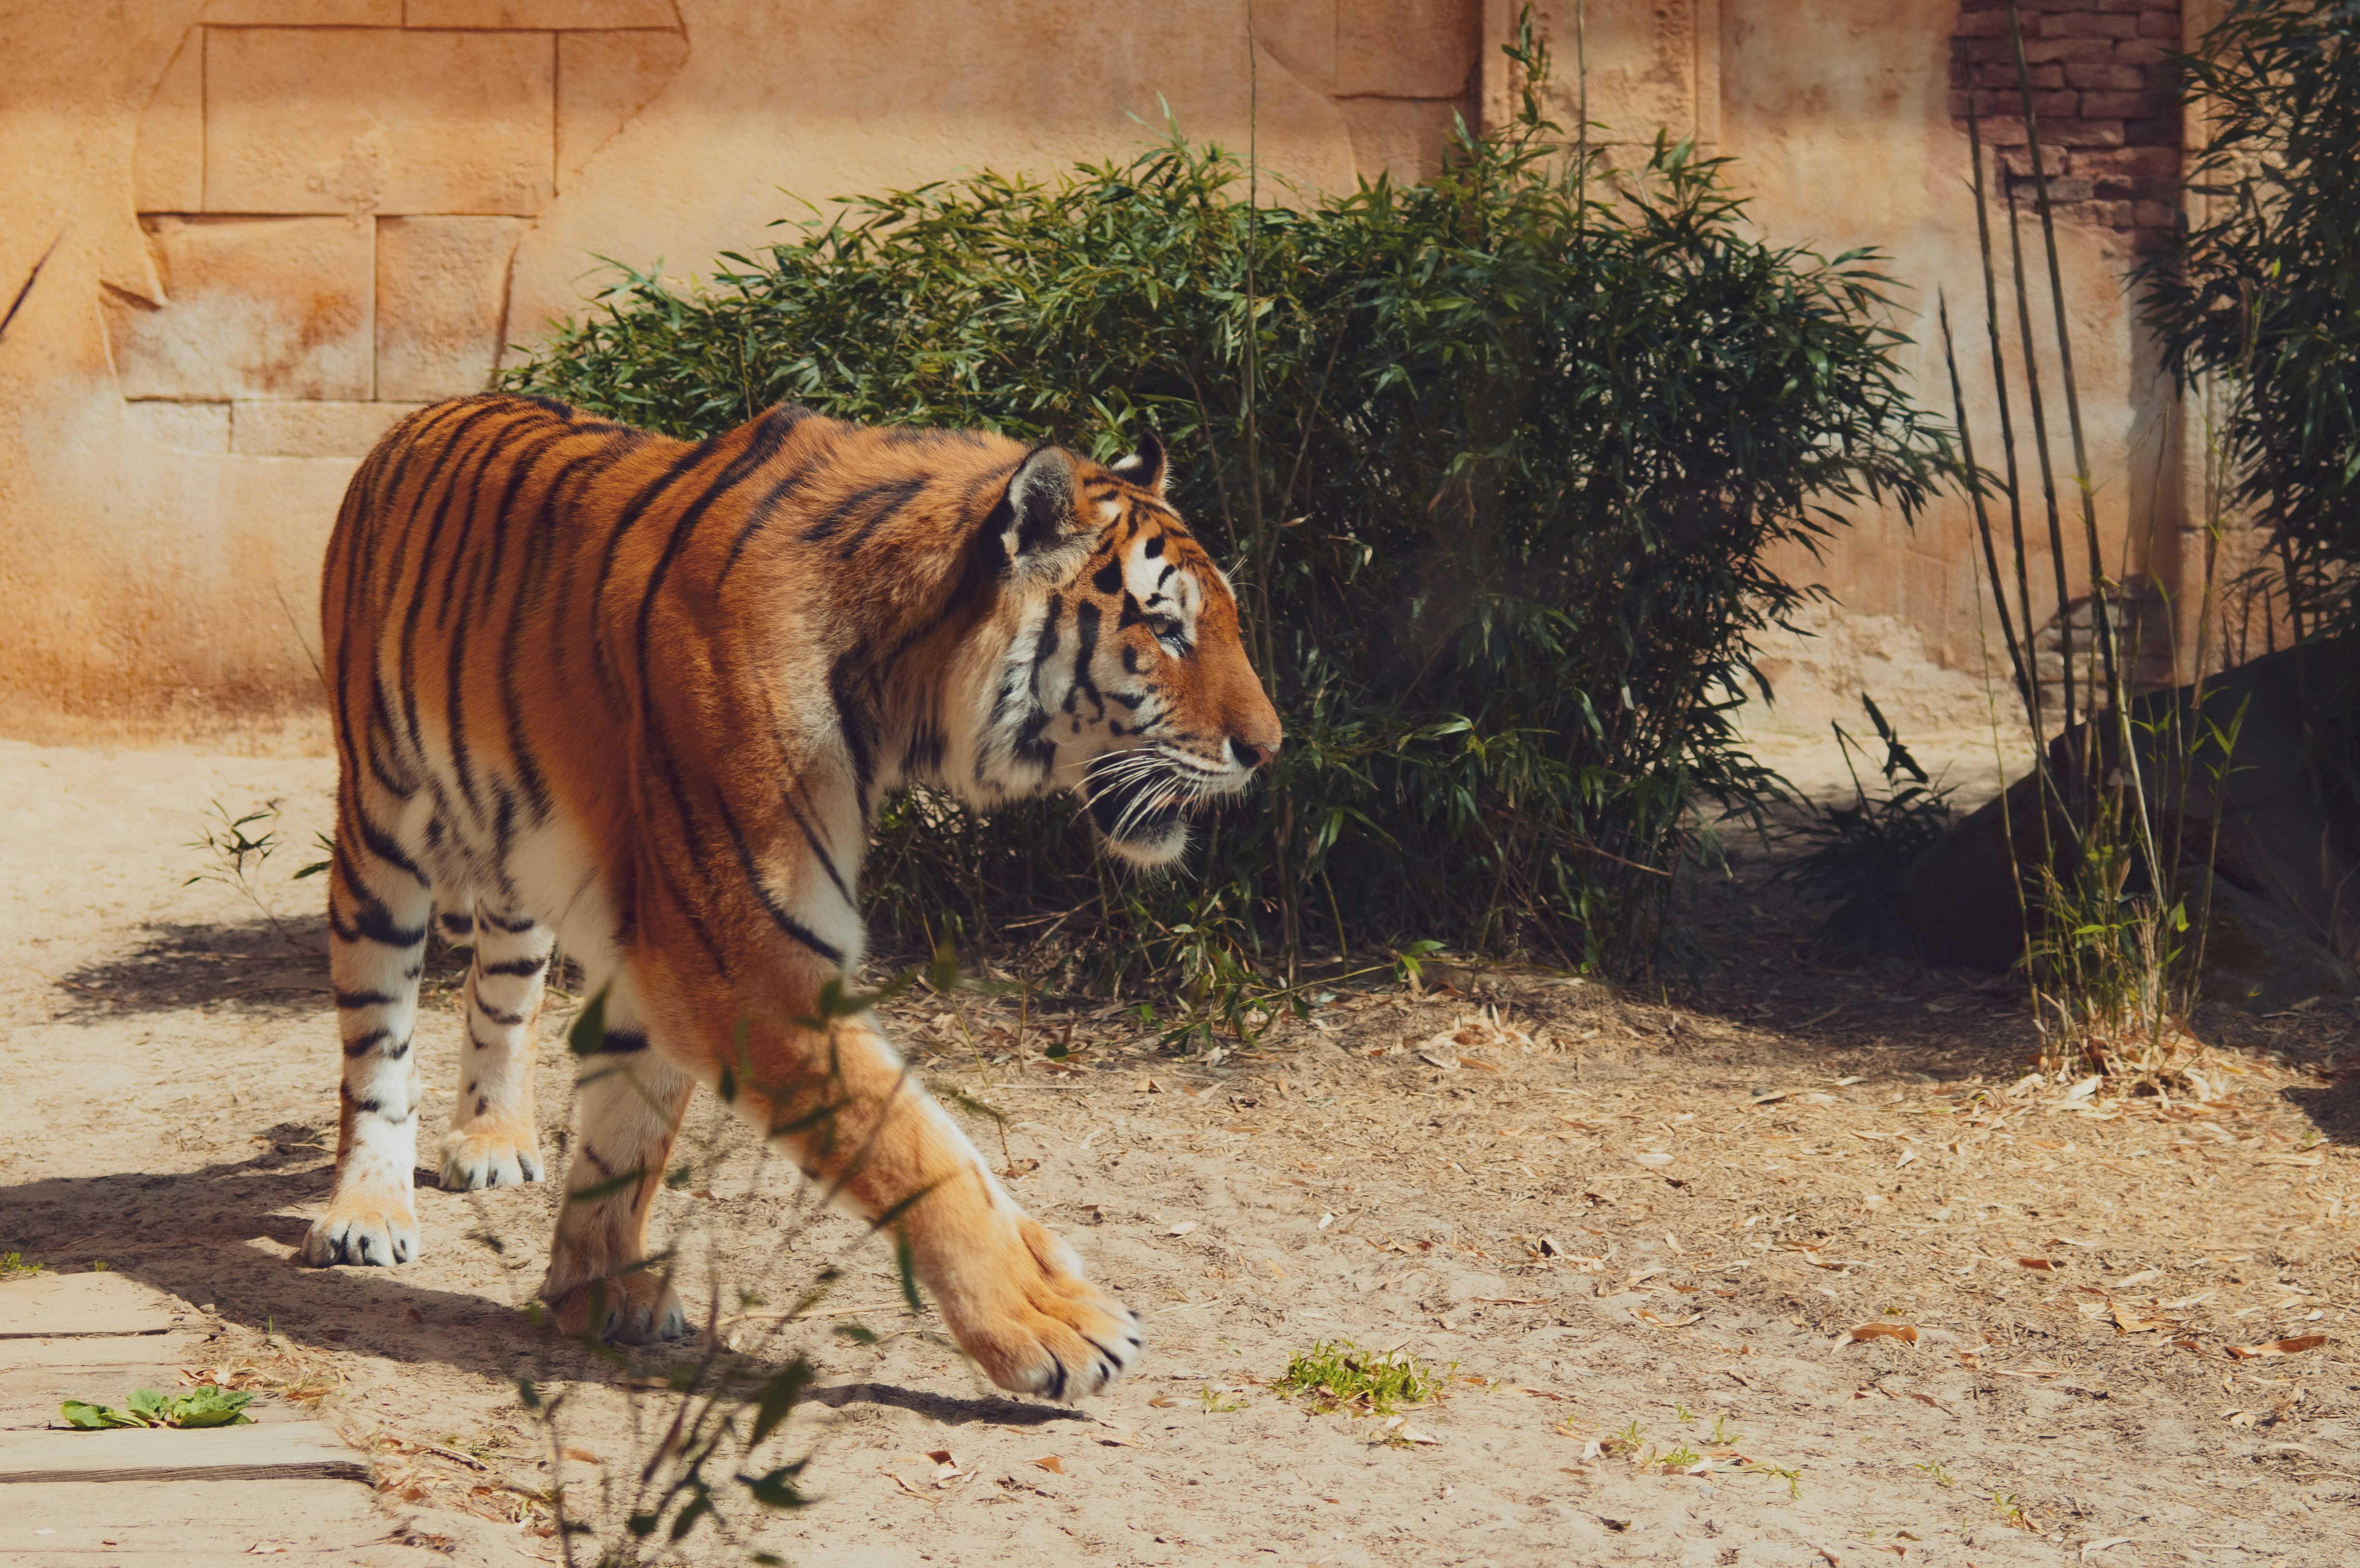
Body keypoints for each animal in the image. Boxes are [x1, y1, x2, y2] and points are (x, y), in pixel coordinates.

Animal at [301, 393, 1281, 1400]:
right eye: (1166, 631)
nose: (1270, 748)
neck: (904, 681)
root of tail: (417, 415)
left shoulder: (662, 938)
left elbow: (630, 1130)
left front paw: (598, 1286)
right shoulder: (745, 956)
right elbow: (918, 1146)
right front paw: (1052, 1324)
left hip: (517, 863)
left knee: (499, 998)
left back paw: (493, 1143)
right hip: (379, 829)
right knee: (378, 1044)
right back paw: (367, 1211)